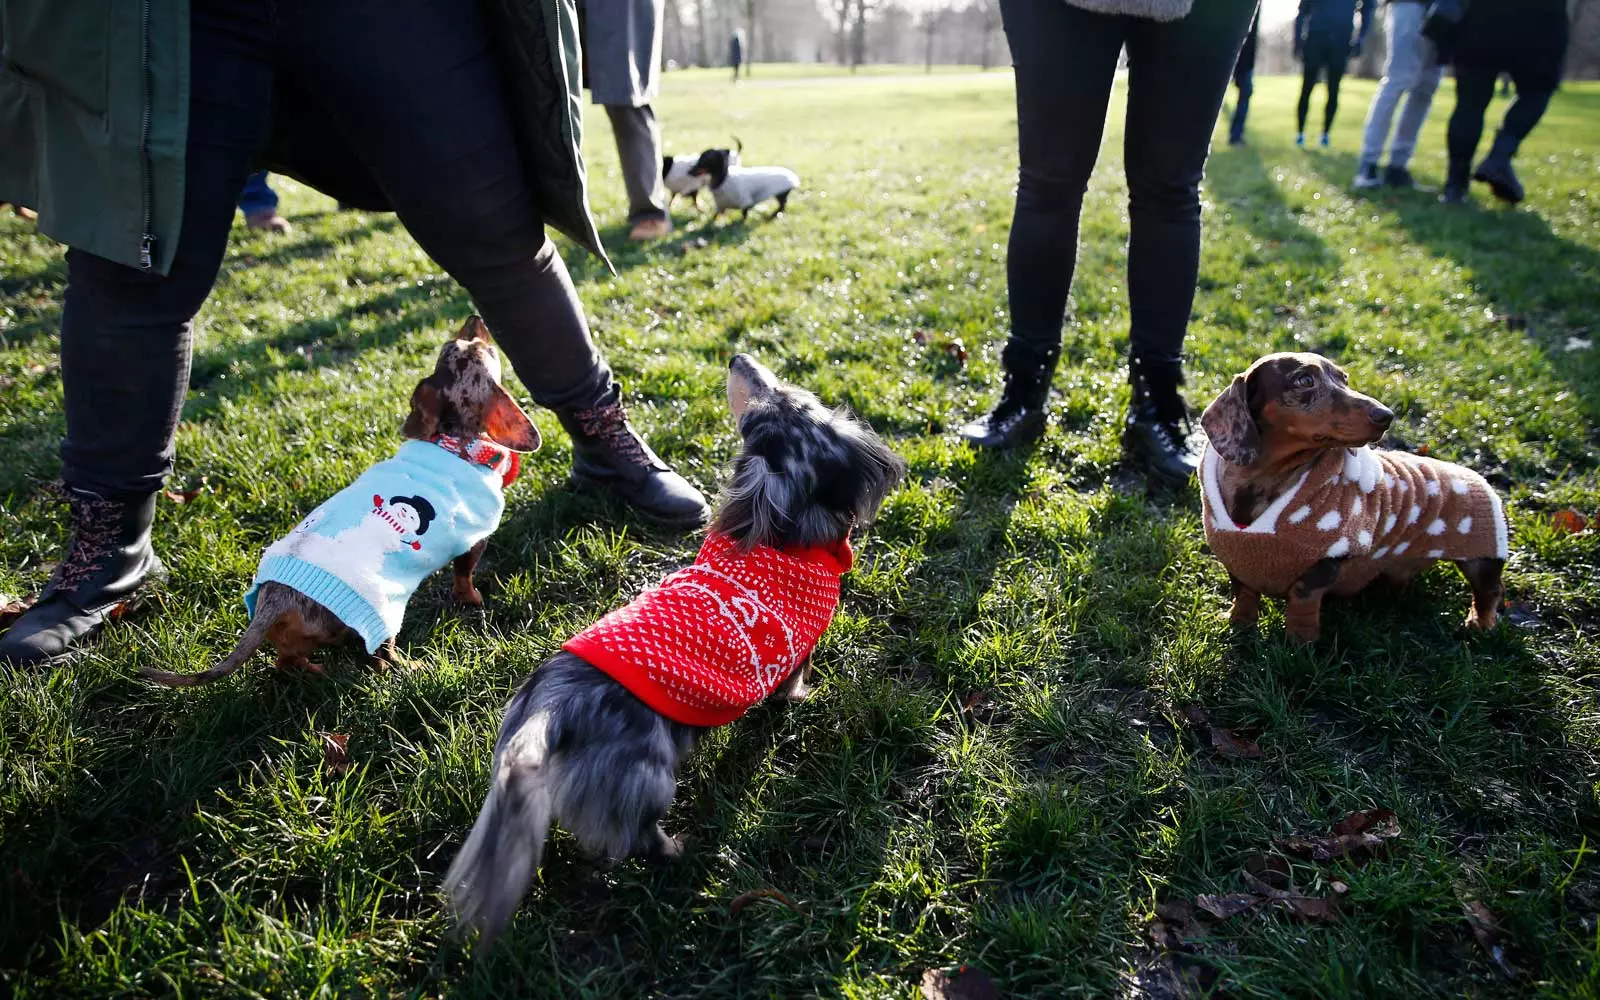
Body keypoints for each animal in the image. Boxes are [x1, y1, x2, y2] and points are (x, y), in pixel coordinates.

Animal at [444, 353, 908, 940]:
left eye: (784, 392)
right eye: (762, 405)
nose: (738, 357)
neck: (785, 531)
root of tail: (547, 709)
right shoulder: (797, 651)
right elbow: (793, 684)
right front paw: (799, 699)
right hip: (649, 780)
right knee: (637, 838)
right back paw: (678, 849)